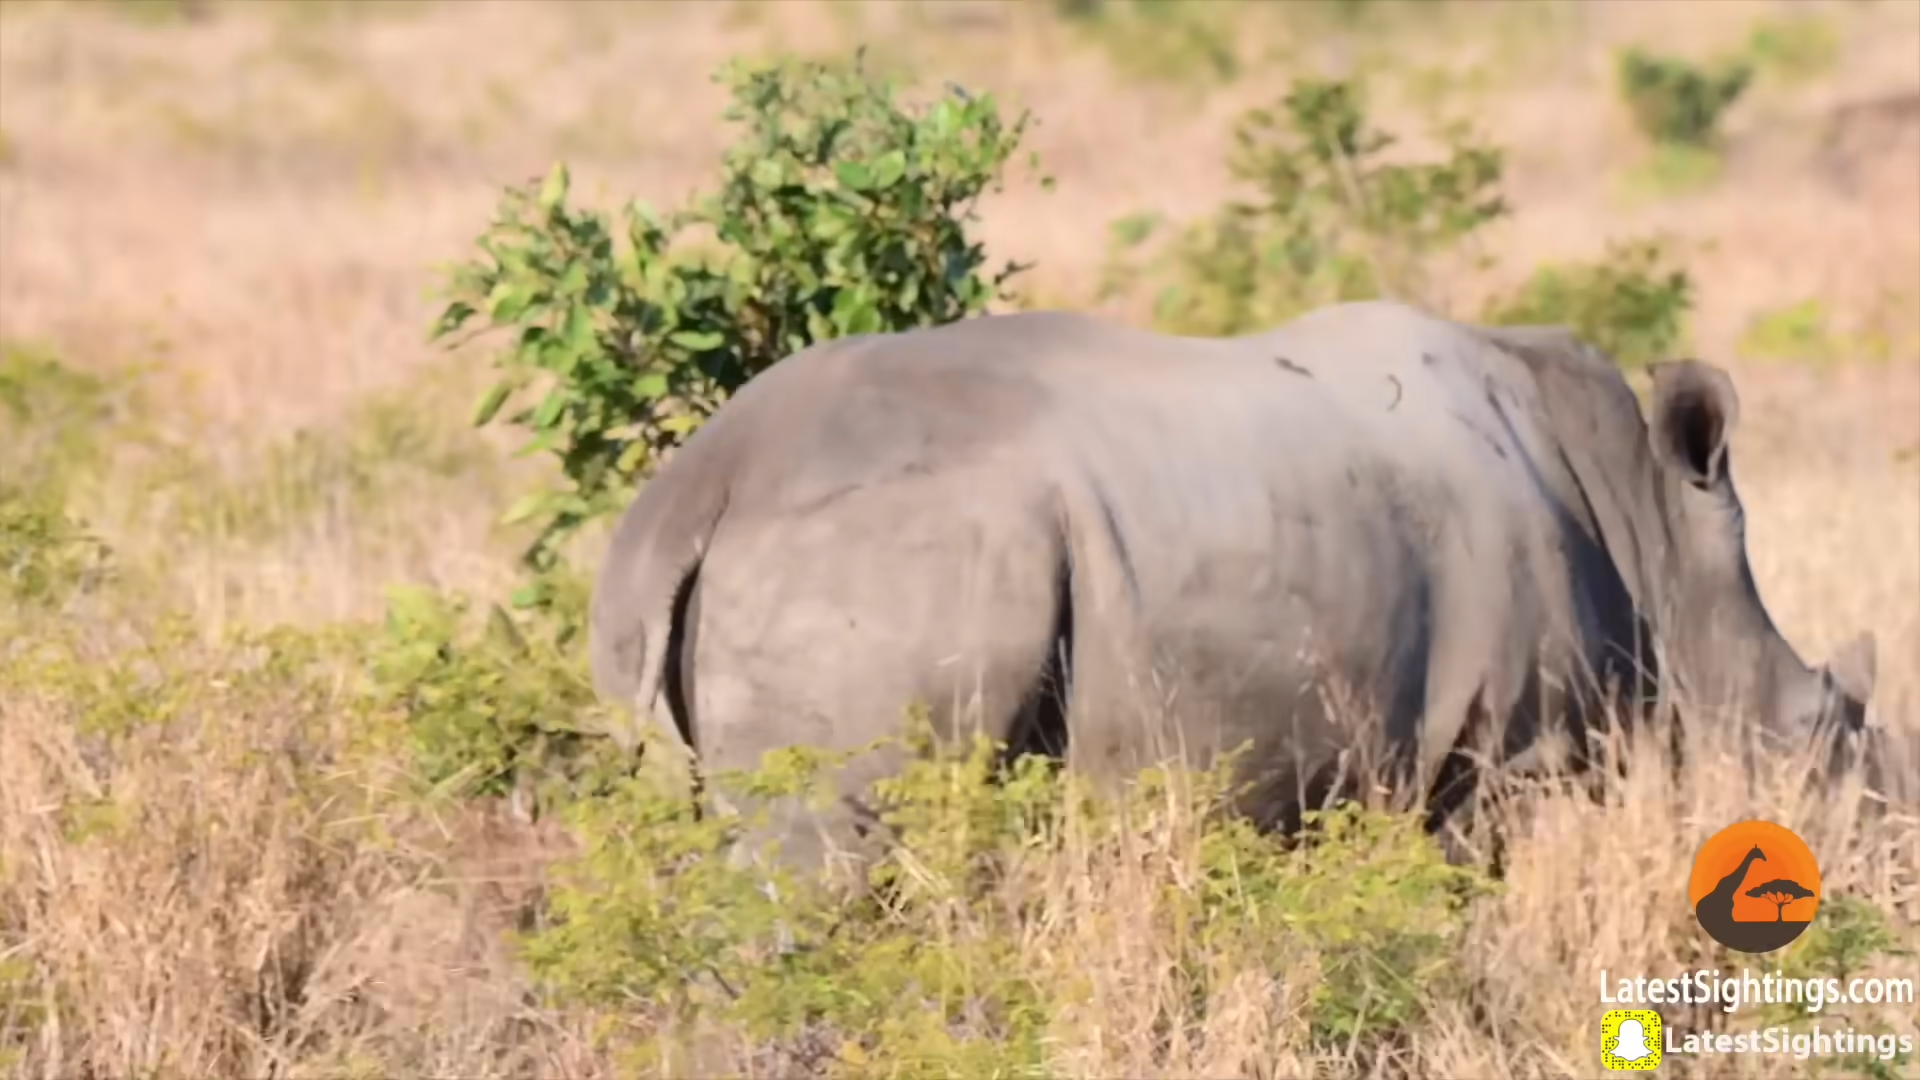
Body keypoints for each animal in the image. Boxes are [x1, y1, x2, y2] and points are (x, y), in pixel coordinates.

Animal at [588, 299, 1879, 873]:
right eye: (1821, 736)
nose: (1873, 880)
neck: (1653, 528)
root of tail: (699, 490)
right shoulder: (1506, 760)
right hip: (888, 565)